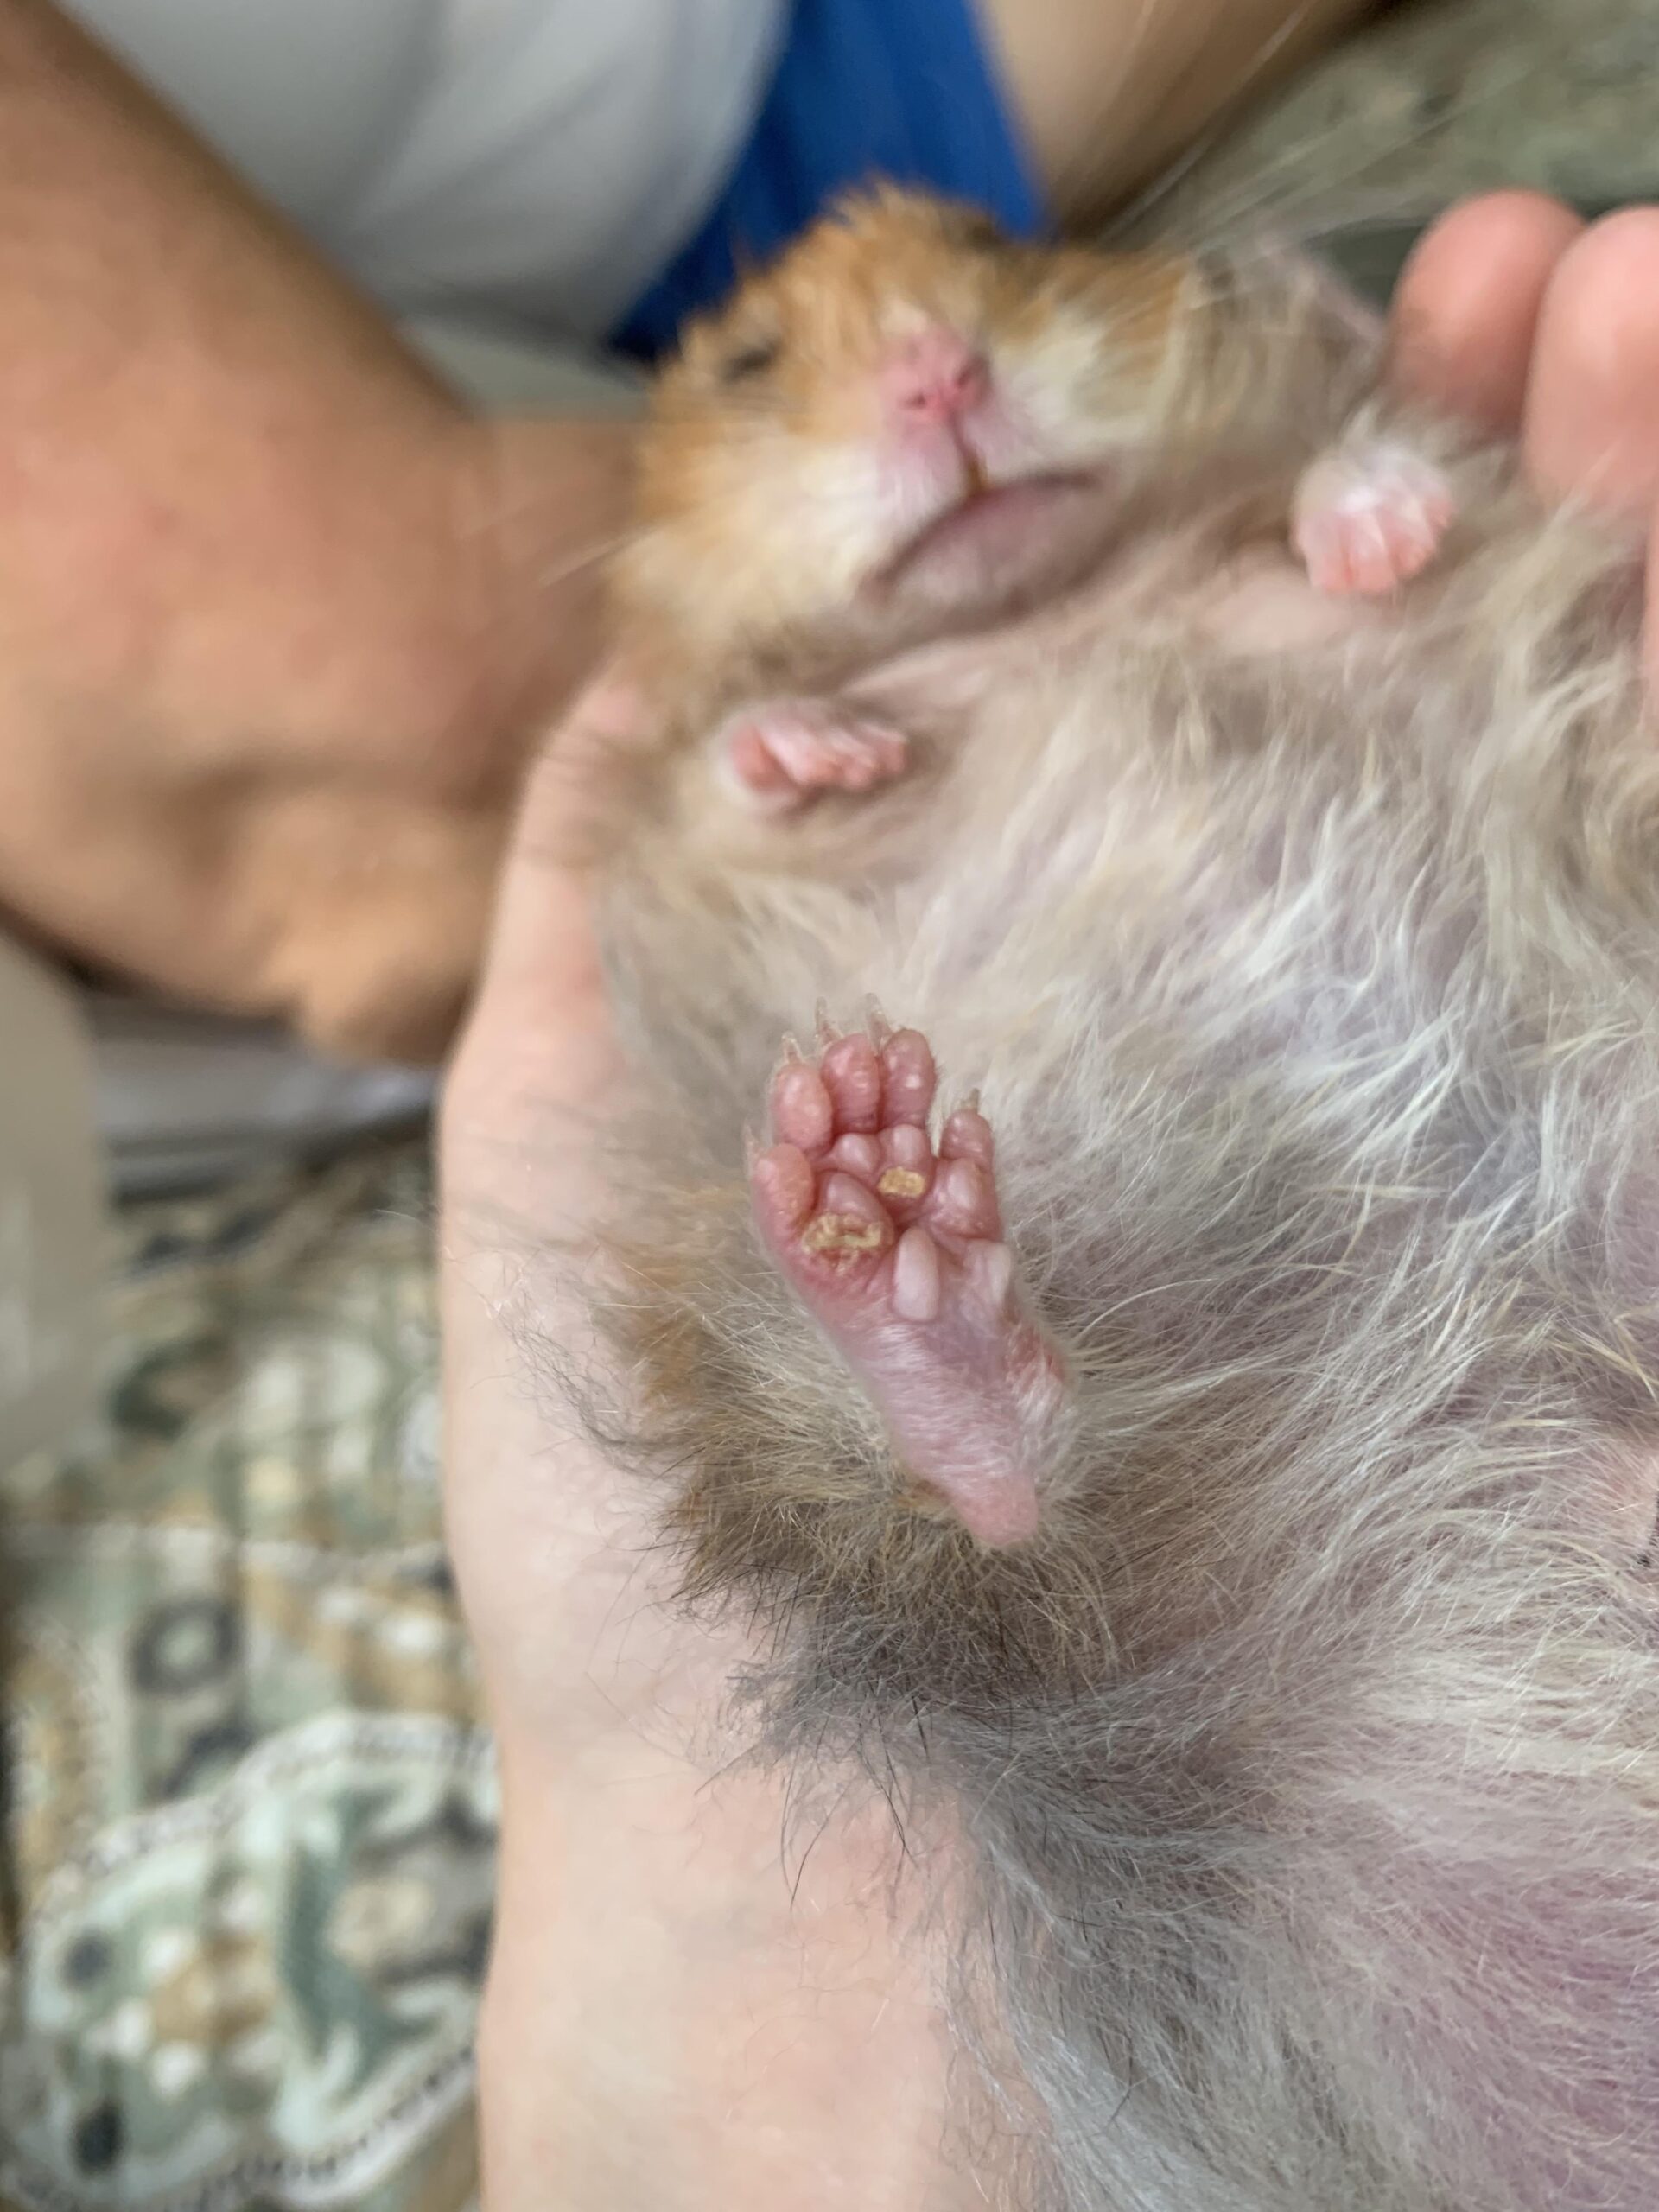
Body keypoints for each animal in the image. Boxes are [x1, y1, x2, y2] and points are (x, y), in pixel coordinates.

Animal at [574, 187, 1659, 2211]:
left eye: (1001, 249)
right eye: (749, 361)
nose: (942, 375)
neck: (1040, 597)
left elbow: (1348, 469)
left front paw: (1369, 528)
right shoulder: (679, 850)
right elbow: (733, 767)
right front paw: (821, 744)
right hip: (754, 1353)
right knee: (989, 1538)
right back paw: (884, 1194)